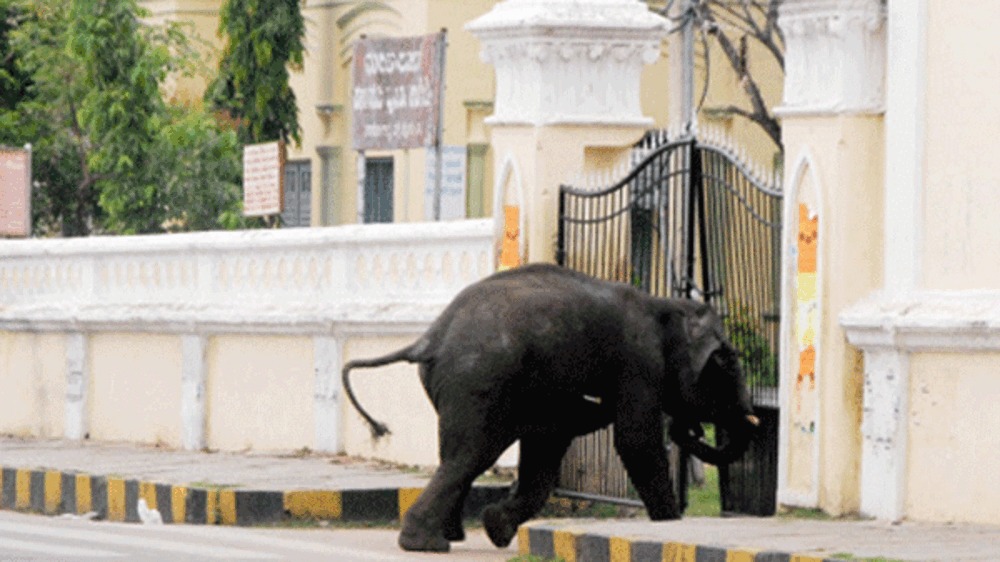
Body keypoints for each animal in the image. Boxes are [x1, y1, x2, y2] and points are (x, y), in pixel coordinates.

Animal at [342, 263, 759, 552]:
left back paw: (450, 536)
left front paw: (496, 526)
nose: (691, 427)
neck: (666, 304)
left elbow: (547, 445)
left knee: (459, 456)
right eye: (727, 365)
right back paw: (426, 544)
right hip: (479, 377)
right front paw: (670, 523)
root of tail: (428, 339)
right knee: (471, 454)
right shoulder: (639, 364)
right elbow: (635, 441)